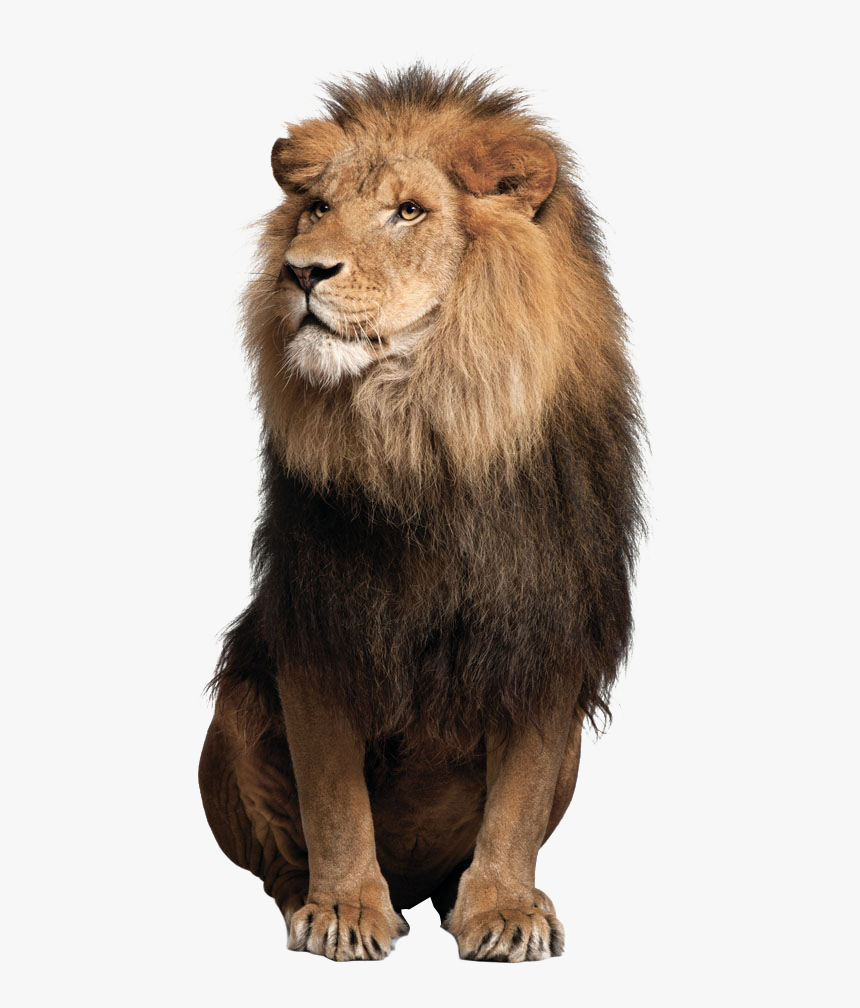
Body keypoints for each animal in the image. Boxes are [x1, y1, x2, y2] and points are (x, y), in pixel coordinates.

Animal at [199, 66, 644, 963]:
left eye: (409, 212)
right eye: (315, 209)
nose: (300, 272)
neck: (426, 431)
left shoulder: (545, 629)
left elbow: (516, 800)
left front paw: (503, 909)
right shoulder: (323, 624)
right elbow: (333, 798)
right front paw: (344, 910)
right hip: (233, 714)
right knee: (280, 858)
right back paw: (314, 901)